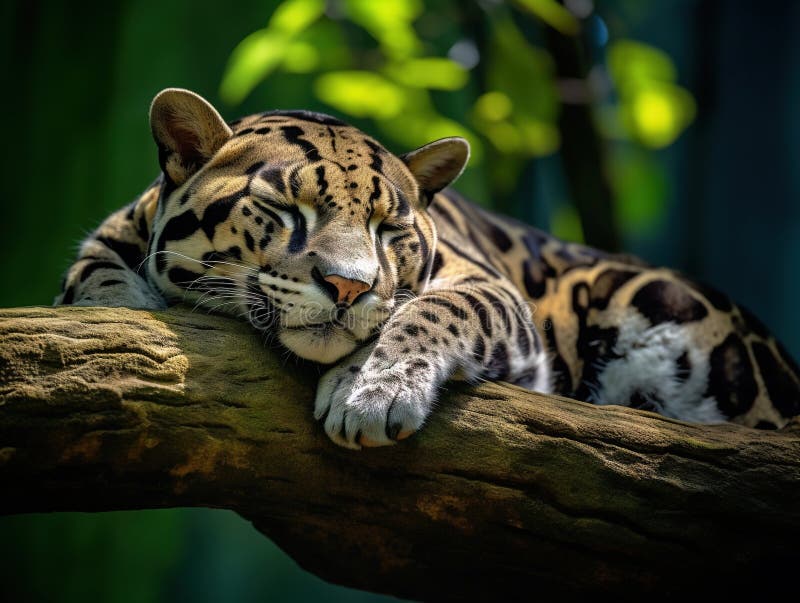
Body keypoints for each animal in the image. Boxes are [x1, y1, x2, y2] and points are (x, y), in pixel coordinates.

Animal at [56, 87, 800, 448]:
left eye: (390, 231)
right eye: (286, 209)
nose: (348, 286)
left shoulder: (493, 292)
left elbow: (433, 308)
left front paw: (372, 391)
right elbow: (92, 273)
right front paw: (124, 304)